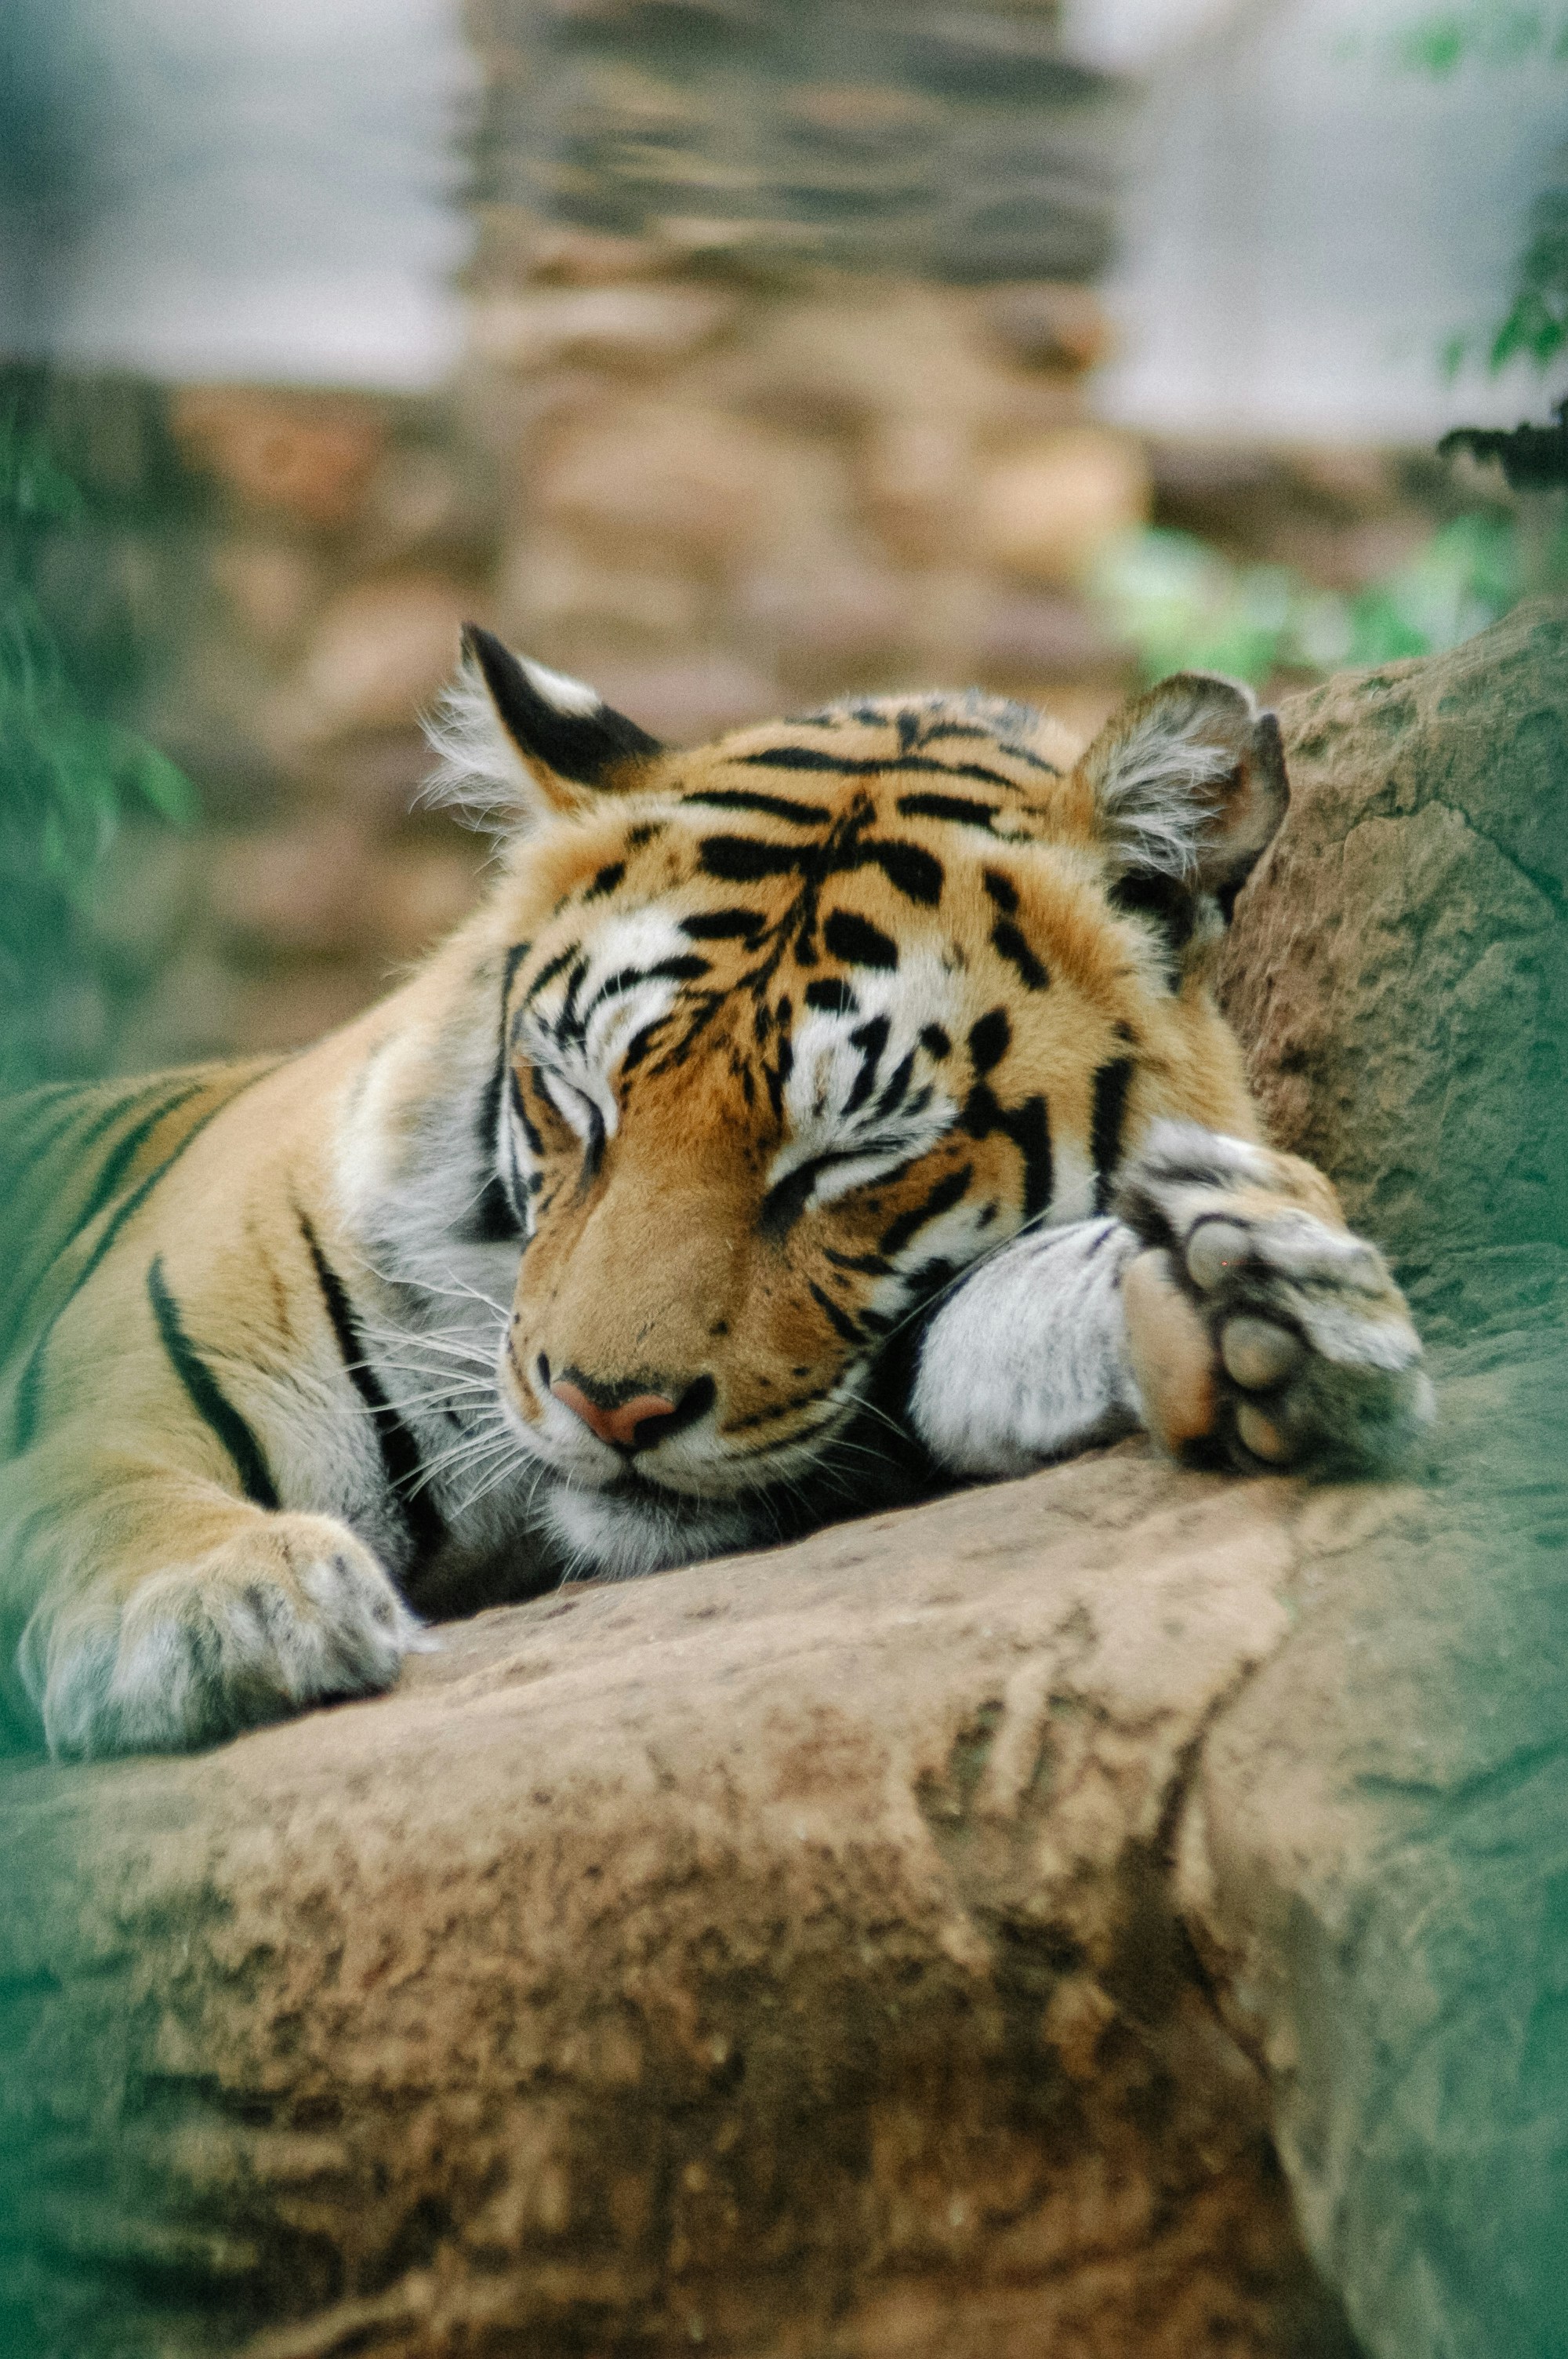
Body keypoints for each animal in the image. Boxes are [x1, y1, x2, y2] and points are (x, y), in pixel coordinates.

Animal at [0, 632, 1433, 1759]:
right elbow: (95, 1482)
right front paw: (233, 1608)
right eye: (579, 1102)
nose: (607, 1405)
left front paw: (1253, 1309)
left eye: (848, 1160)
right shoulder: (132, 1378)